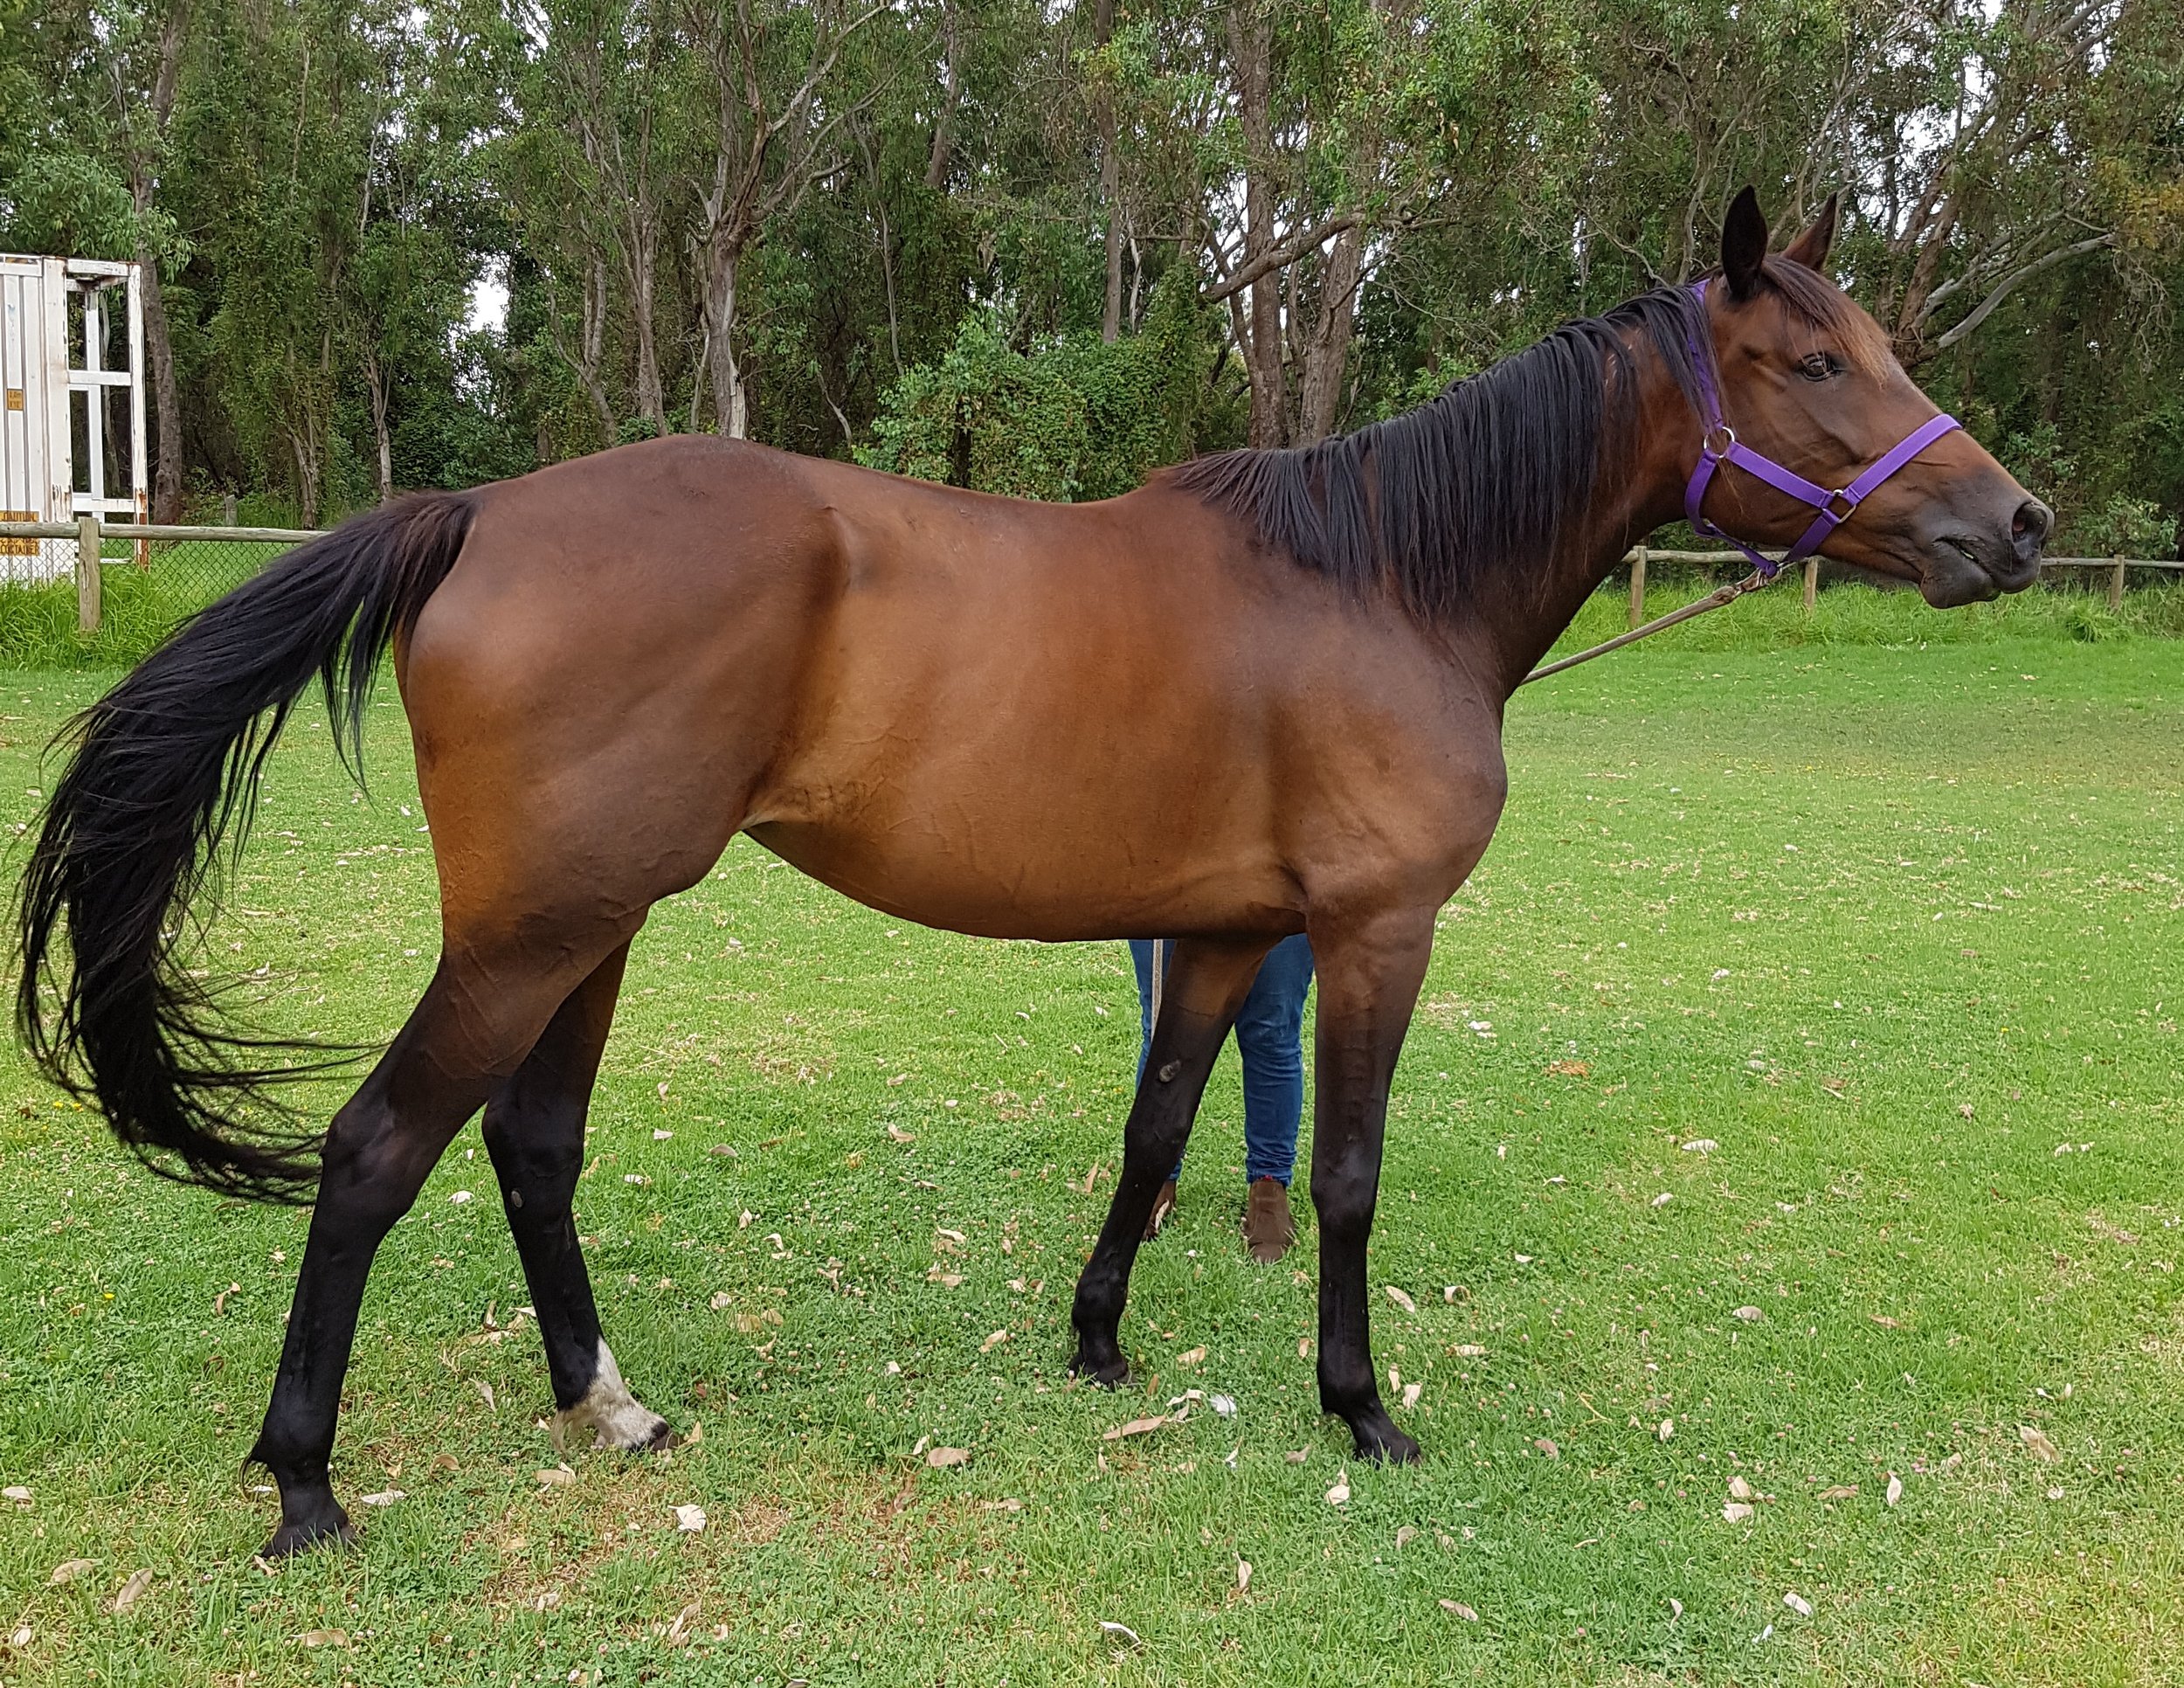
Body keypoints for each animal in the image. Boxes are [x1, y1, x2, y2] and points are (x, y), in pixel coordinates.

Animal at [15, 188, 2049, 1556]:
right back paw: (304, 1483)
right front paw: (1358, 1409)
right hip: (533, 933)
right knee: (375, 1152)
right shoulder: (1375, 933)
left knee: (530, 1143)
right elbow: (1346, 1177)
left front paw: (1095, 1343)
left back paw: (606, 1404)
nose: (2016, 525)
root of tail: (483, 515)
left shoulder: (1223, 936)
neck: (1382, 578)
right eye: (1812, 361)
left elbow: (1157, 1132)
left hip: (589, 926)